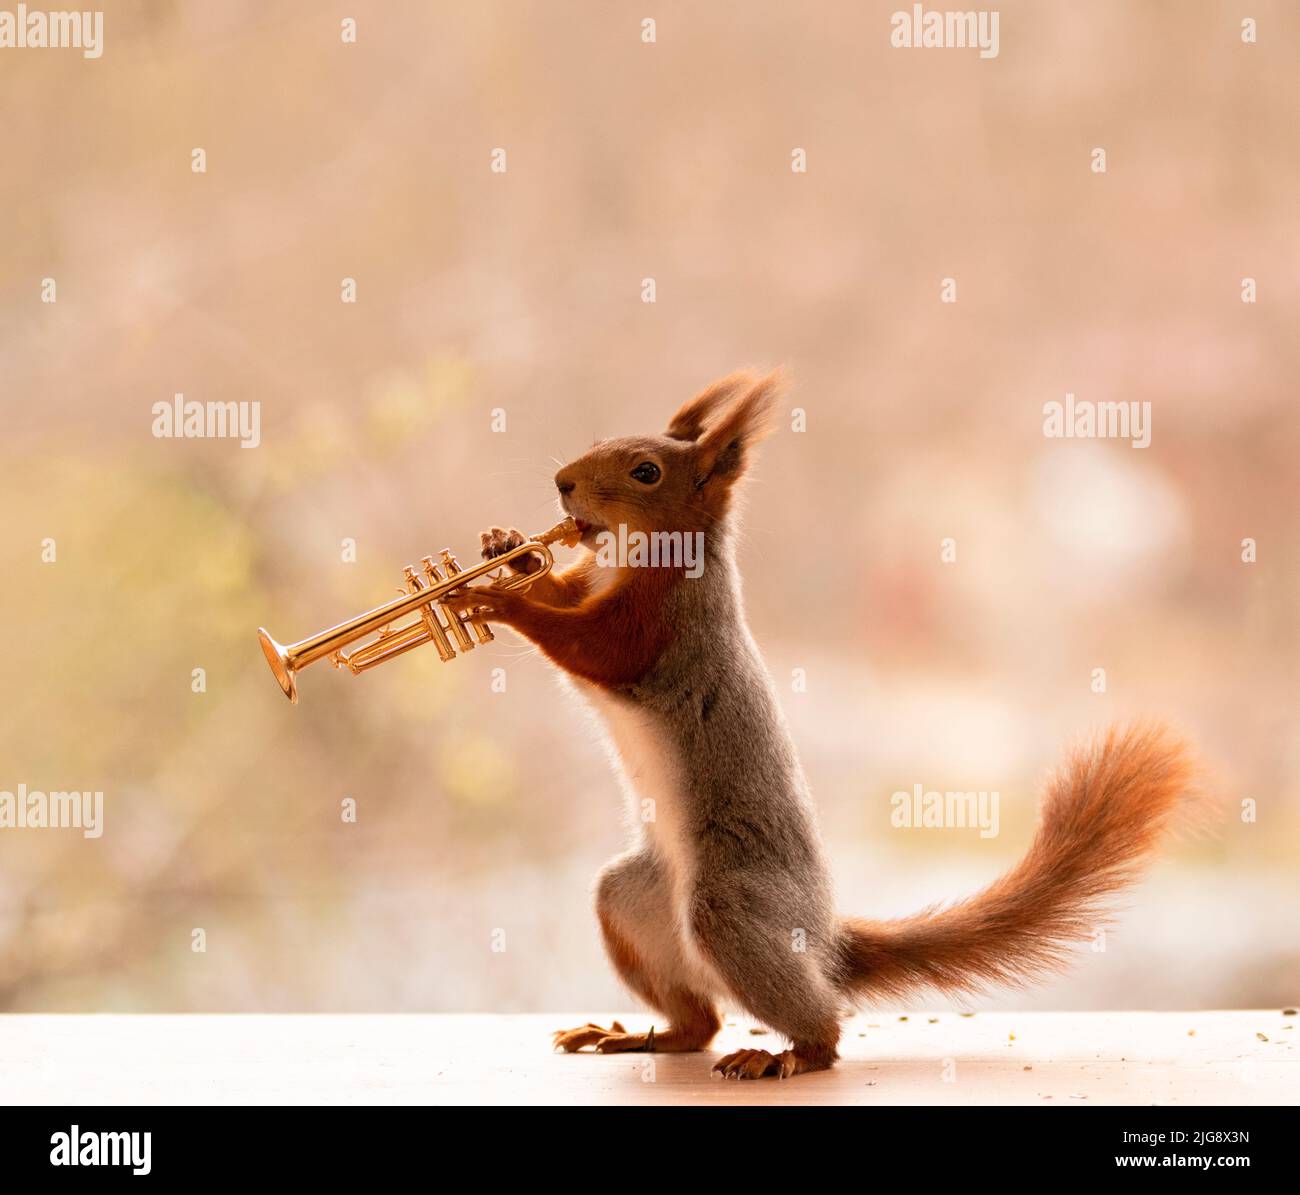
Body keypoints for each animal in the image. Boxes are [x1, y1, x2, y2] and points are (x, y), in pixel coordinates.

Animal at [448, 369, 1197, 1080]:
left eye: (646, 472)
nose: (562, 483)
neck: (636, 557)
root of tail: (822, 936)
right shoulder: (591, 585)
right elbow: (560, 590)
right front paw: (511, 552)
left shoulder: (659, 628)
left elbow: (586, 644)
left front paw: (492, 598)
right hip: (632, 902)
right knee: (700, 1021)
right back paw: (632, 1034)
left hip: (730, 908)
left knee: (819, 1026)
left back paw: (785, 1054)